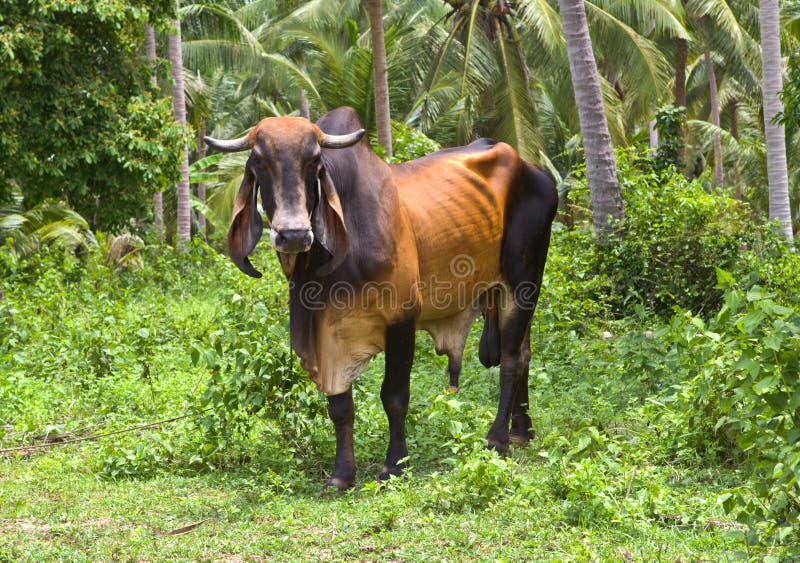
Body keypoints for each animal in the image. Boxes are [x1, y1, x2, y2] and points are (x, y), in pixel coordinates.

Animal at [204, 107, 558, 492]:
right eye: (259, 162)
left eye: (314, 162)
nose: (294, 235)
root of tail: (535, 171)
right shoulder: (324, 329)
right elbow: (340, 405)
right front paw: (342, 474)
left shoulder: (402, 318)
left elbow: (394, 396)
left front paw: (395, 465)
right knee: (525, 352)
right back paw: (522, 430)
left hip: (523, 282)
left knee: (510, 360)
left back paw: (498, 439)